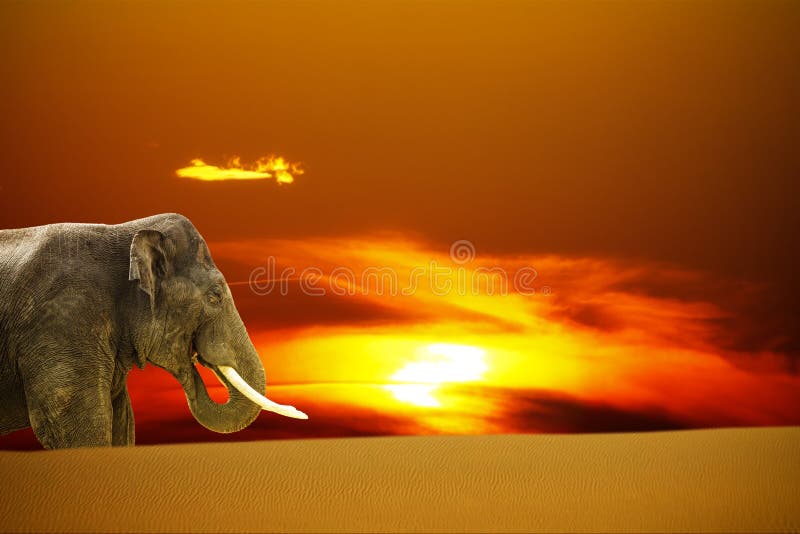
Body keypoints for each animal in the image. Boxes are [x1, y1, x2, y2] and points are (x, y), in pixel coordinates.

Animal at [0, 213, 306, 449]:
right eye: (215, 297)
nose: (298, 410)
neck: (124, 231)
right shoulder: (62, 323)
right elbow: (76, 430)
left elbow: (122, 426)